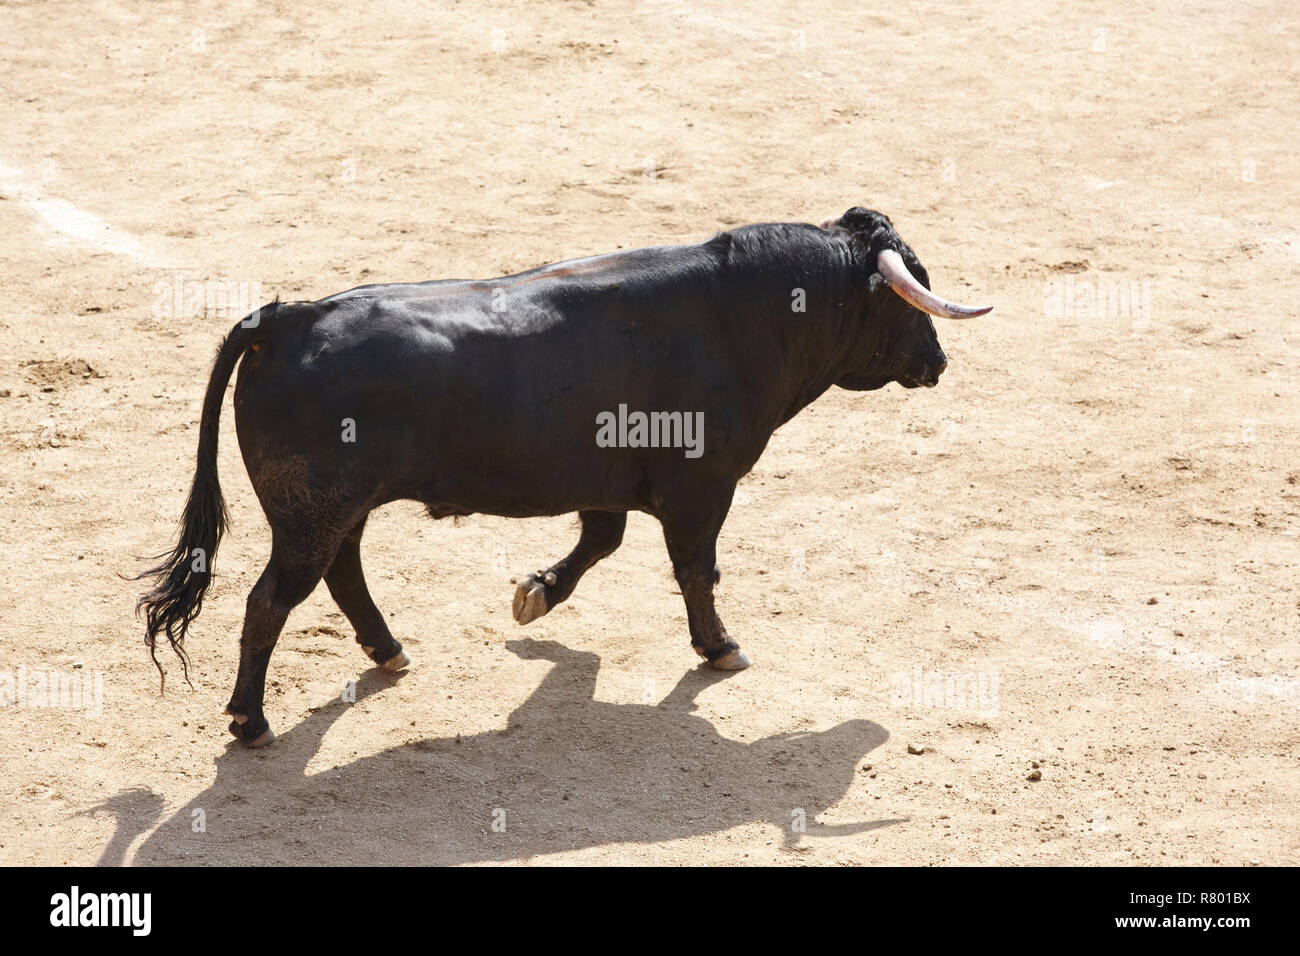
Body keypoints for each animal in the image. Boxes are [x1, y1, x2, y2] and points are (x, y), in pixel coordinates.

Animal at [137, 206, 991, 747]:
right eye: (909, 293)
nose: (939, 363)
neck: (745, 315)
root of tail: (285, 319)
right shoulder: (703, 489)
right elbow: (697, 571)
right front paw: (720, 647)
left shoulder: (610, 486)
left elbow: (600, 545)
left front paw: (536, 595)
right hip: (312, 514)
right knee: (272, 601)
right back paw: (250, 722)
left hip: (339, 510)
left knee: (341, 574)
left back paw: (388, 650)